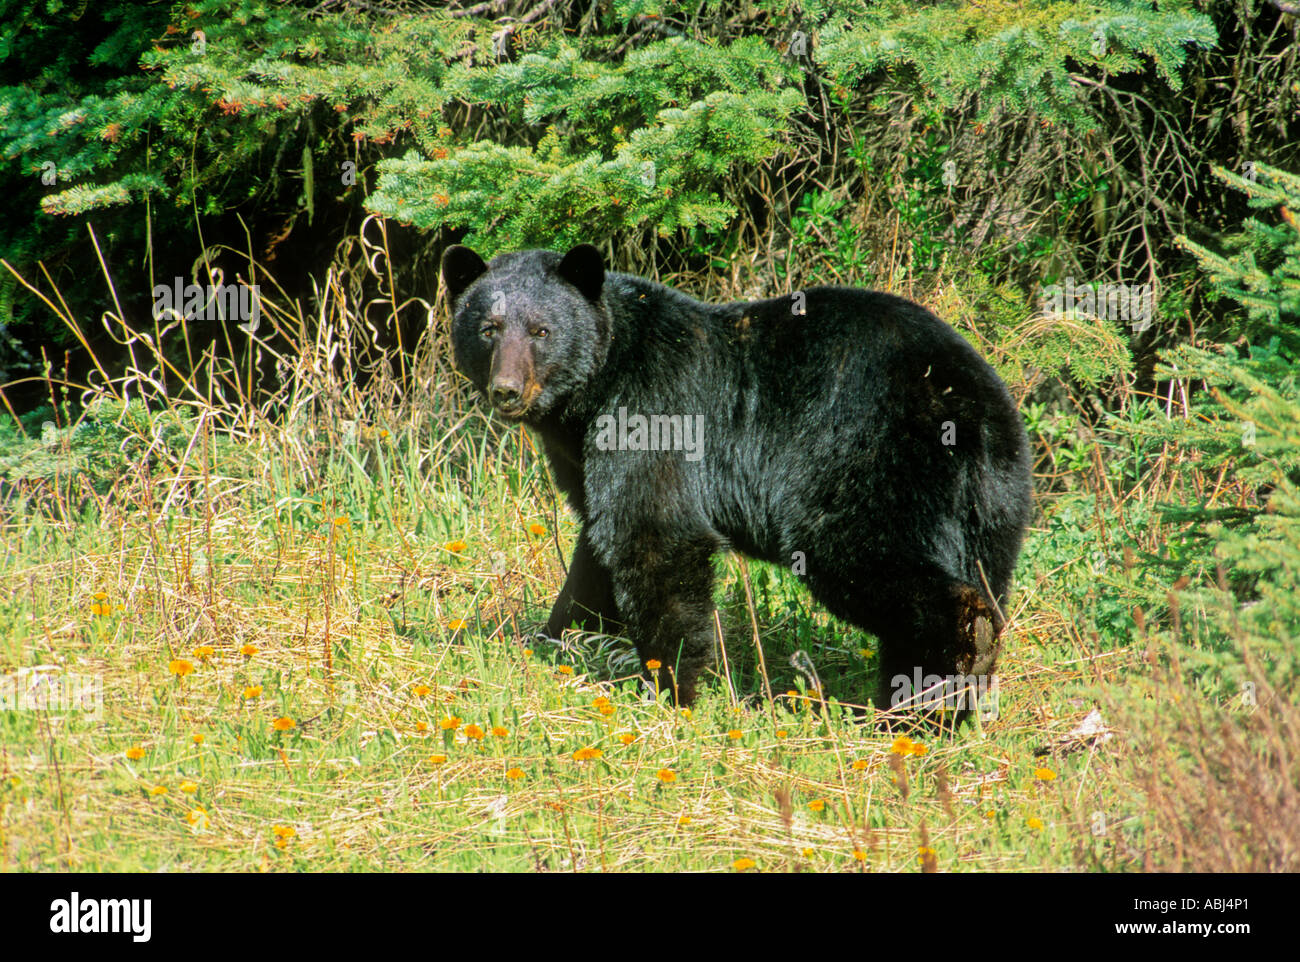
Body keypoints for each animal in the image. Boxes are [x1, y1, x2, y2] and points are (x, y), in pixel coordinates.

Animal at [440, 243, 1033, 717]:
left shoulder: (652, 407)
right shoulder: (582, 456)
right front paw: (556, 640)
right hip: (993, 500)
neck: (595, 389)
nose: (507, 390)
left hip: (868, 463)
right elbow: (596, 551)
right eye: (488, 329)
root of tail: (969, 398)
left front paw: (673, 685)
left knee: (874, 558)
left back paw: (925, 699)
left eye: (541, 330)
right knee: (982, 571)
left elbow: (655, 534)